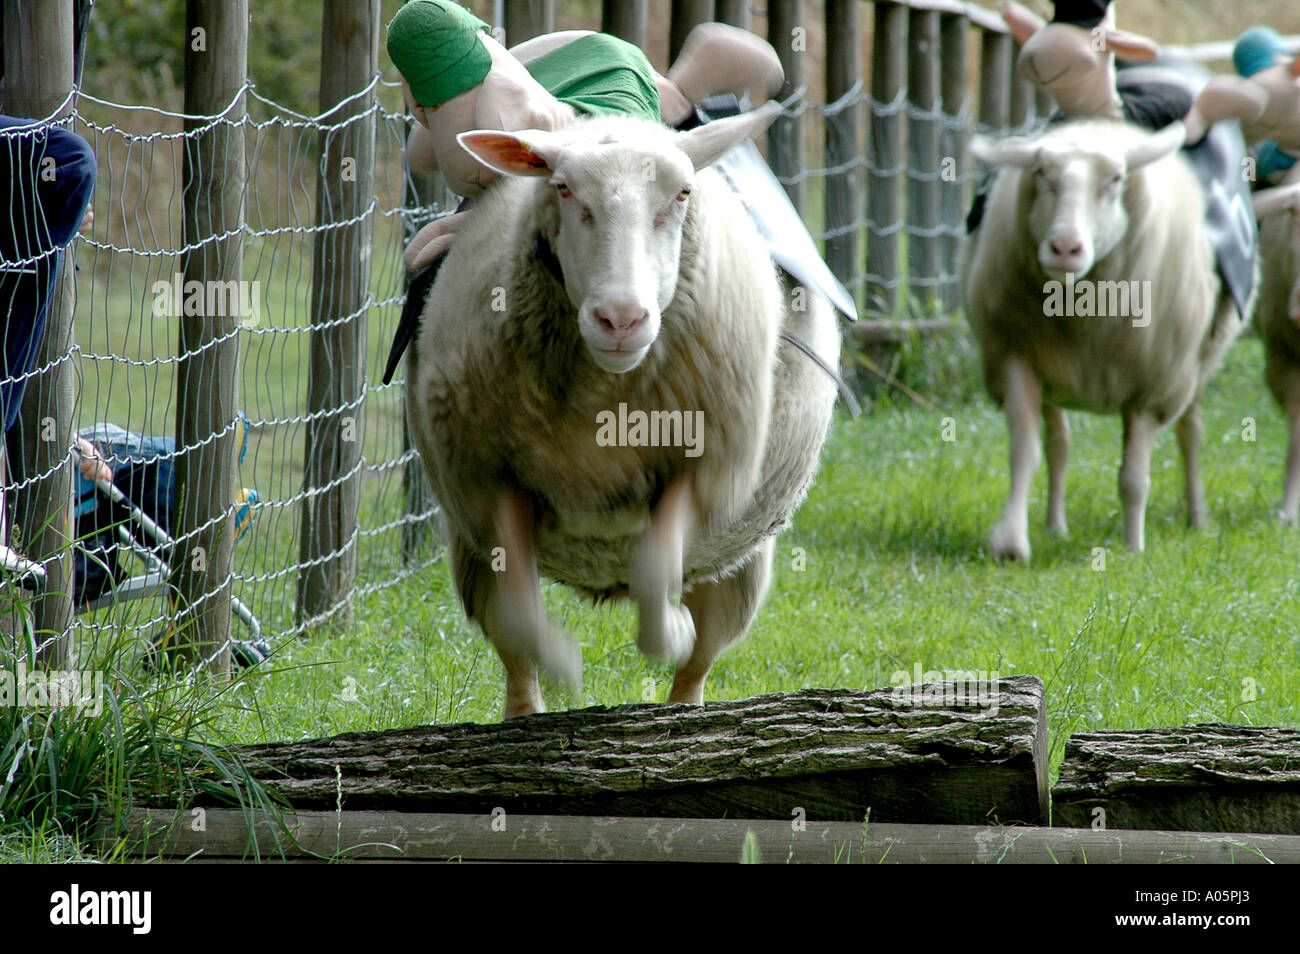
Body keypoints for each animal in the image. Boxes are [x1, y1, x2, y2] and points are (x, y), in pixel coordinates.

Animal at [404, 104, 840, 718]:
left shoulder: (704, 473)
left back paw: (685, 704)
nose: (621, 319)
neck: (601, 409)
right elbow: (519, 616)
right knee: (510, 644)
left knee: (701, 658)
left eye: (682, 193)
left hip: (743, 558)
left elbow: (657, 576)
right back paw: (523, 713)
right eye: (563, 188)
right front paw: (564, 664)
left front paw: (671, 631)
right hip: (467, 544)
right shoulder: (489, 480)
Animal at [962, 117, 1251, 562]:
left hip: (1194, 366)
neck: (1084, 318)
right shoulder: (1016, 357)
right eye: (1041, 174)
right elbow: (1023, 453)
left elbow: (1134, 478)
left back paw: (1197, 516)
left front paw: (1134, 549)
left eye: (1115, 180)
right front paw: (1010, 541)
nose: (1065, 247)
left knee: (1190, 435)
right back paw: (1055, 526)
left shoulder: (1152, 387)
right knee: (1058, 445)